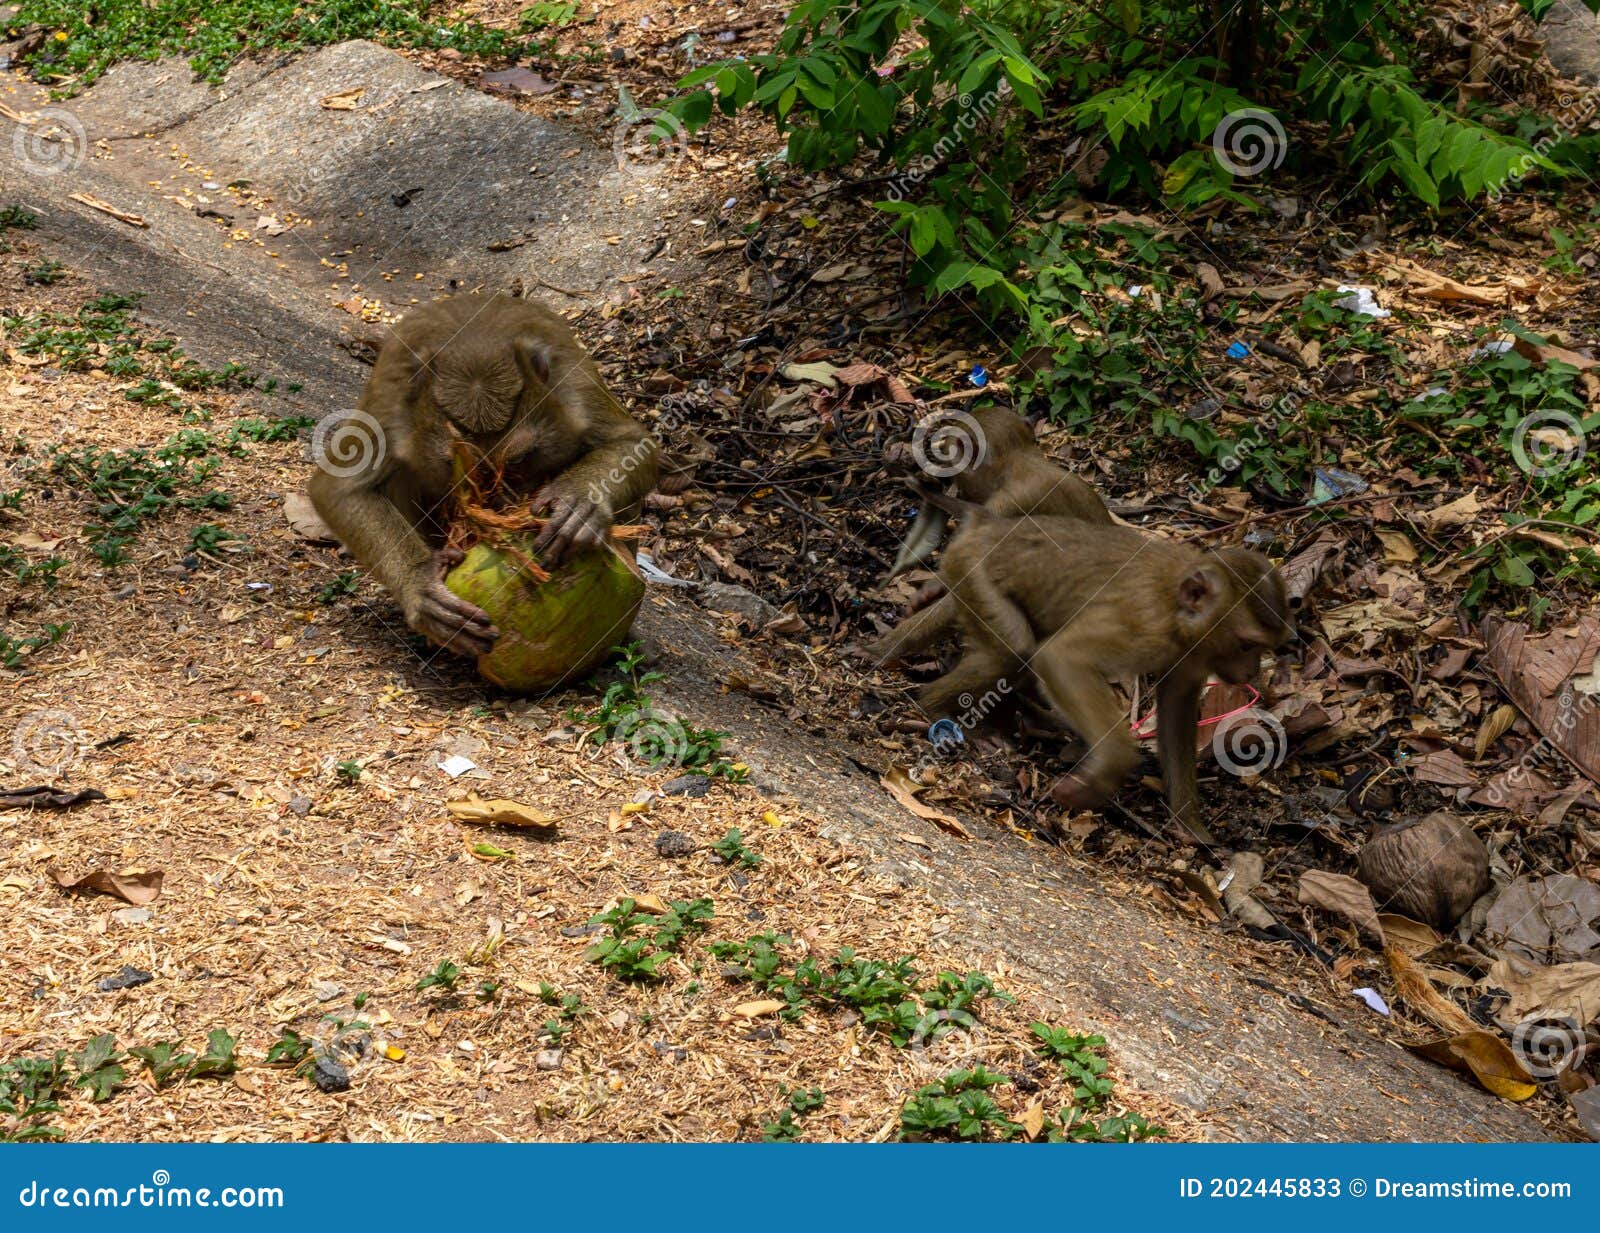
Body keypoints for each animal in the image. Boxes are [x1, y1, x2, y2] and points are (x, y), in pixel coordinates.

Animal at [308, 294, 658, 659]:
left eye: (518, 459)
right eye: (456, 462)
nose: (499, 503)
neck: (474, 340)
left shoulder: (571, 384)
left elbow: (633, 443)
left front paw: (579, 503)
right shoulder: (392, 404)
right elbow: (339, 489)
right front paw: (421, 583)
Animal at [915, 494, 1291, 841]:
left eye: (1264, 647)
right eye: (1247, 644)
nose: (1252, 672)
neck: (1175, 609)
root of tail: (984, 525)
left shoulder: (1191, 653)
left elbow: (1177, 708)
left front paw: (1189, 822)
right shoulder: (1142, 624)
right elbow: (1062, 657)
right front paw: (1103, 776)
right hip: (973, 571)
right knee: (1012, 650)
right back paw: (933, 707)